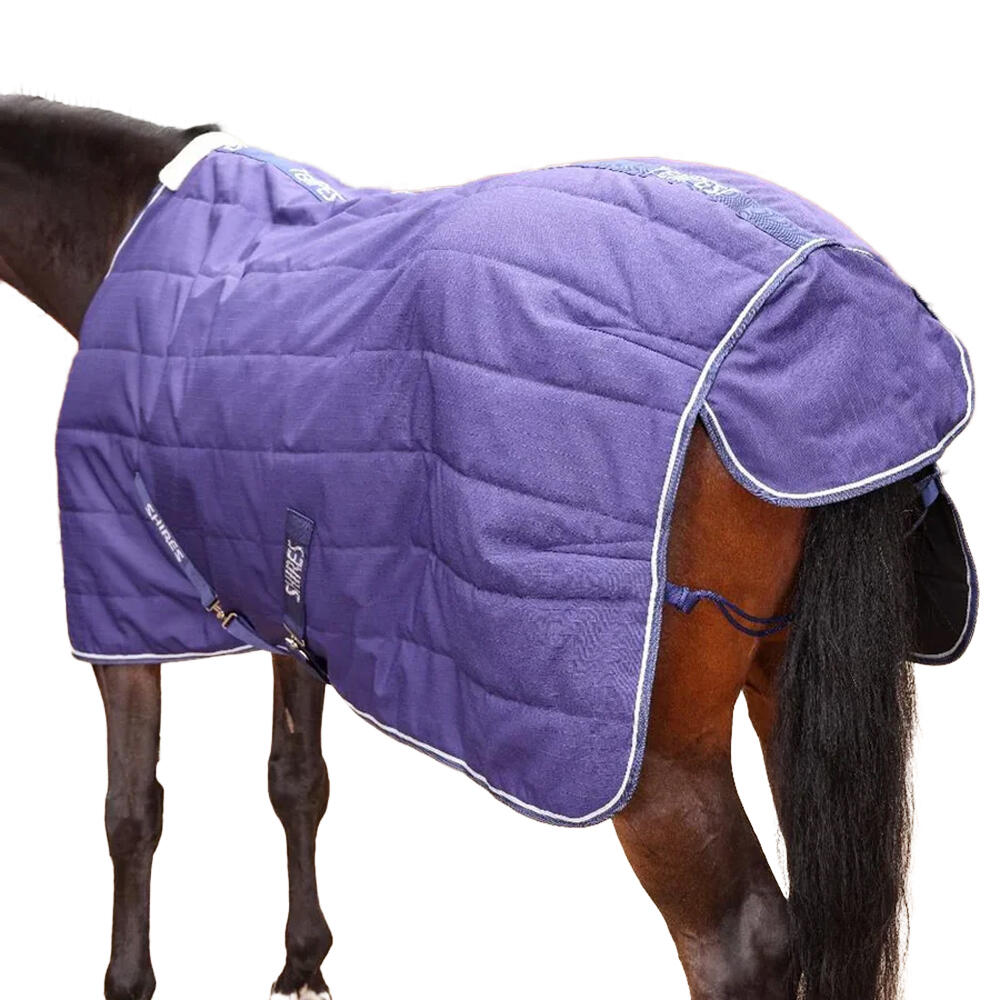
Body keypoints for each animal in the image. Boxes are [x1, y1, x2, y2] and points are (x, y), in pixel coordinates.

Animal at [0, 95, 976, 1000]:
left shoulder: (118, 598)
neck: (135, 234)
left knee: (742, 944)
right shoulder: (290, 591)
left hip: (660, 764)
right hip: (787, 691)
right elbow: (296, 780)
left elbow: (132, 813)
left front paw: (130, 979)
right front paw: (303, 962)